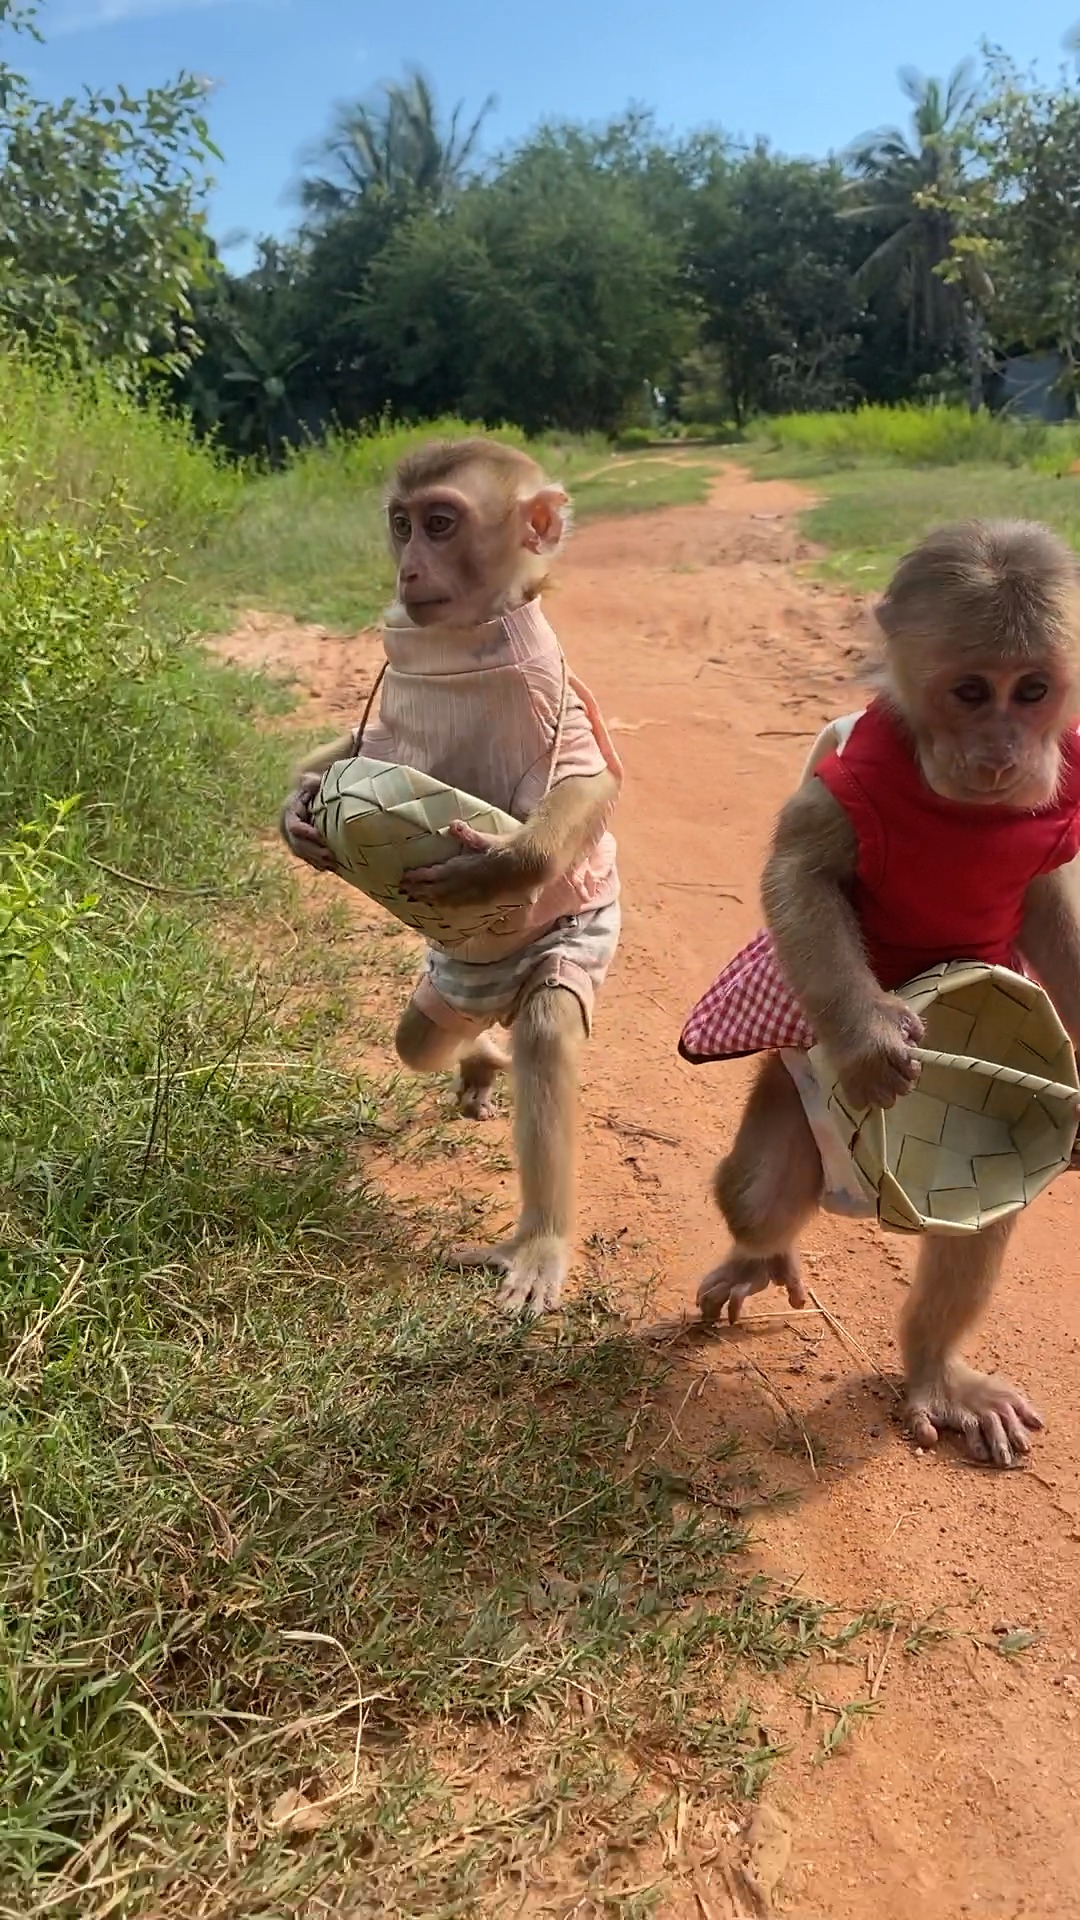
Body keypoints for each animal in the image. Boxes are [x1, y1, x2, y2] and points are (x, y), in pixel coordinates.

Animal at [280, 437, 622, 1316]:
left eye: (440, 524)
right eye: (401, 525)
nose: (407, 569)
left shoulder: (554, 699)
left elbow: (586, 791)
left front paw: (501, 866)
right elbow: (355, 752)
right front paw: (295, 814)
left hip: (562, 945)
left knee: (541, 1023)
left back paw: (537, 1240)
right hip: (450, 987)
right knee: (424, 1038)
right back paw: (482, 1061)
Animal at [679, 519, 1080, 1469]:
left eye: (1032, 690)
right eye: (970, 691)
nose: (1002, 752)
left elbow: (1046, 906)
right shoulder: (853, 774)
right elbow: (801, 876)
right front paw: (870, 1039)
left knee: (976, 1227)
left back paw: (935, 1372)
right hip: (791, 1094)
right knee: (759, 1193)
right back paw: (758, 1257)